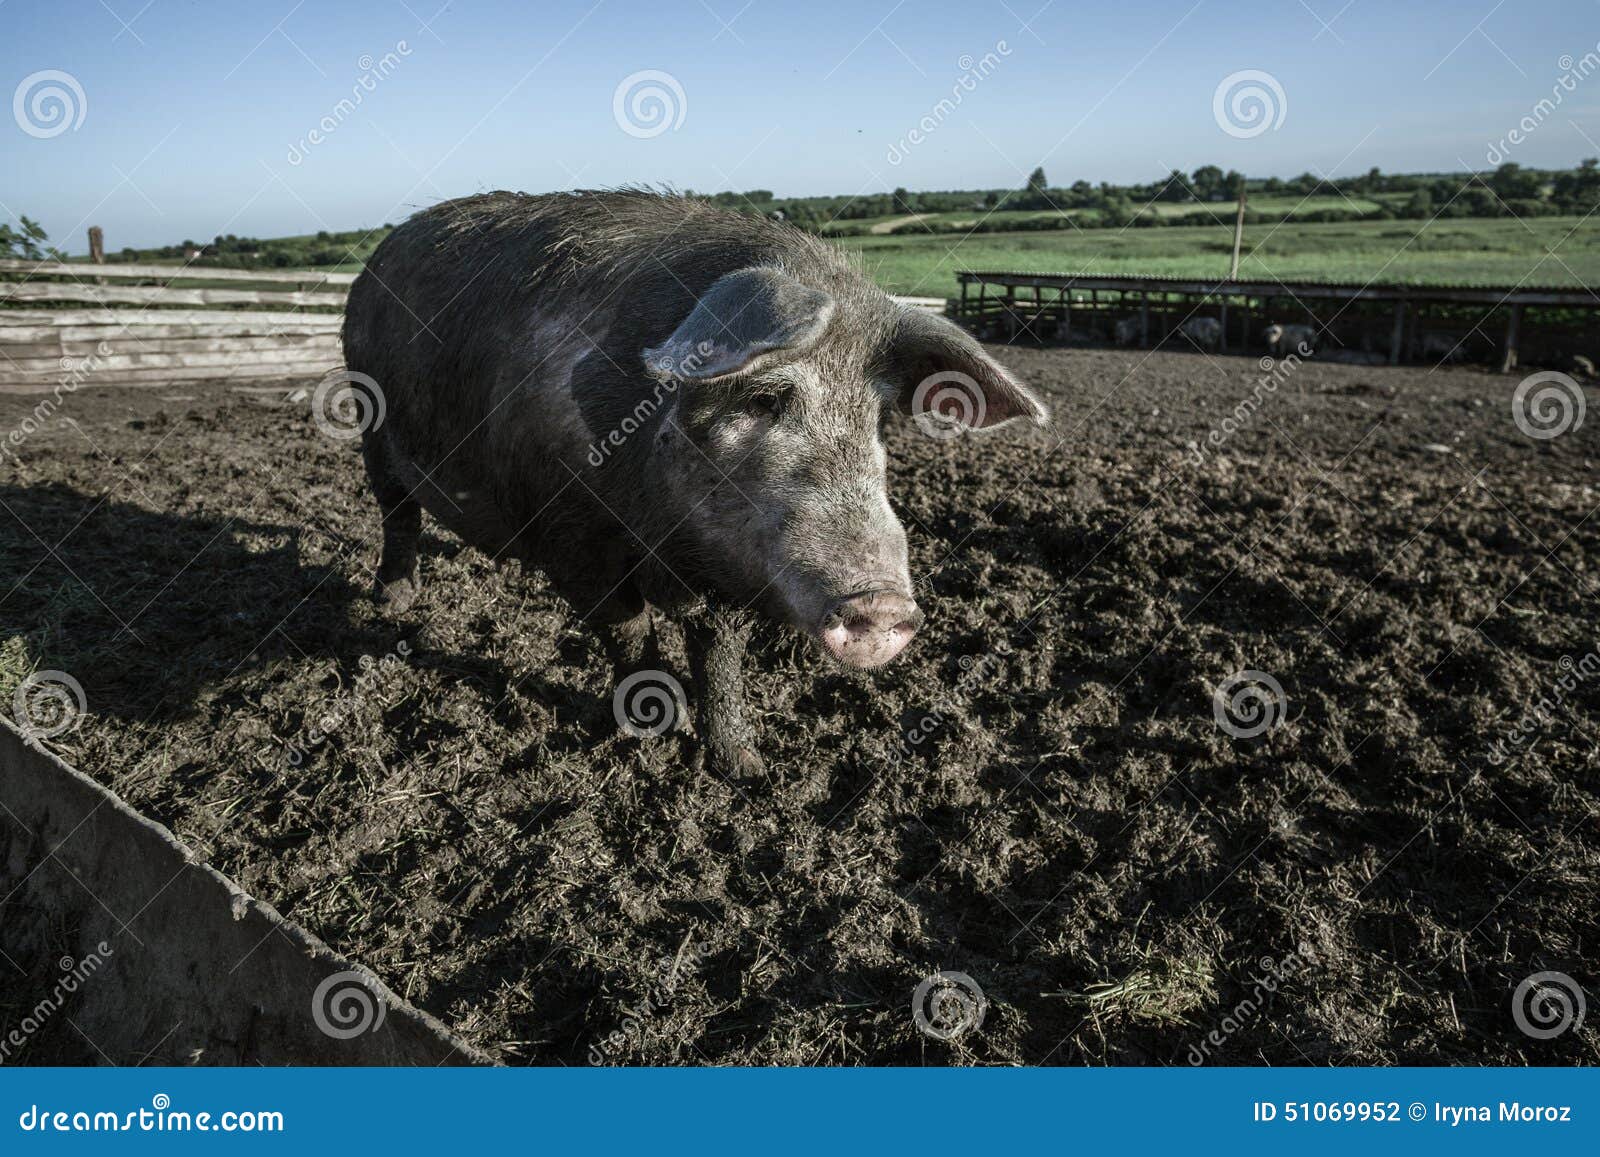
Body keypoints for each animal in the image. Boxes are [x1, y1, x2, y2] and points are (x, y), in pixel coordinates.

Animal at [342, 191, 1048, 775]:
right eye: (764, 399)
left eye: (877, 418)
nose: (882, 604)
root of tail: (377, 257)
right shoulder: (577, 543)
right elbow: (628, 630)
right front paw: (657, 726)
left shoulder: (725, 567)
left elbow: (719, 653)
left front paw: (745, 769)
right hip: (370, 424)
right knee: (396, 514)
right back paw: (393, 605)